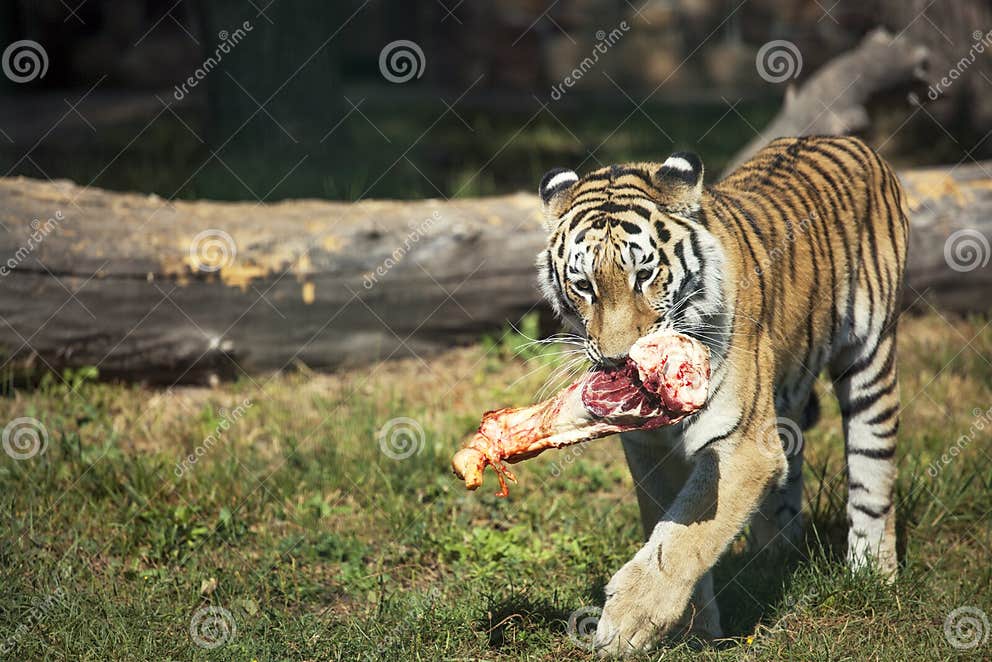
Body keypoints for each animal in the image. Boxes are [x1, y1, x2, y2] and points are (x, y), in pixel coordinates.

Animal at [536, 135, 908, 655]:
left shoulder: (743, 446)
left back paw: (873, 574)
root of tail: (847, 140)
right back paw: (774, 555)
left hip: (871, 359)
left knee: (874, 470)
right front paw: (692, 630)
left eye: (643, 276)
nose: (616, 360)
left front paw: (627, 622)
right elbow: (668, 521)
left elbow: (683, 534)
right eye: (584, 285)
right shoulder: (649, 447)